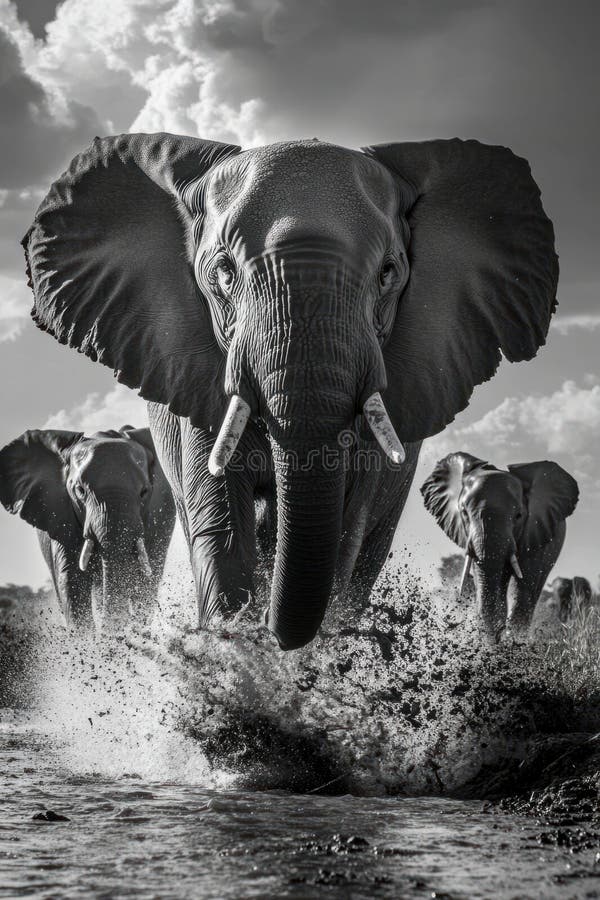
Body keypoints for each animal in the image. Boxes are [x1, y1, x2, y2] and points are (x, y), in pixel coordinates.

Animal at [22, 133, 558, 649]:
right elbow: (223, 526)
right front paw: (240, 657)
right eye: (224, 272)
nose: (271, 630)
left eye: (388, 273)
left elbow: (341, 530)